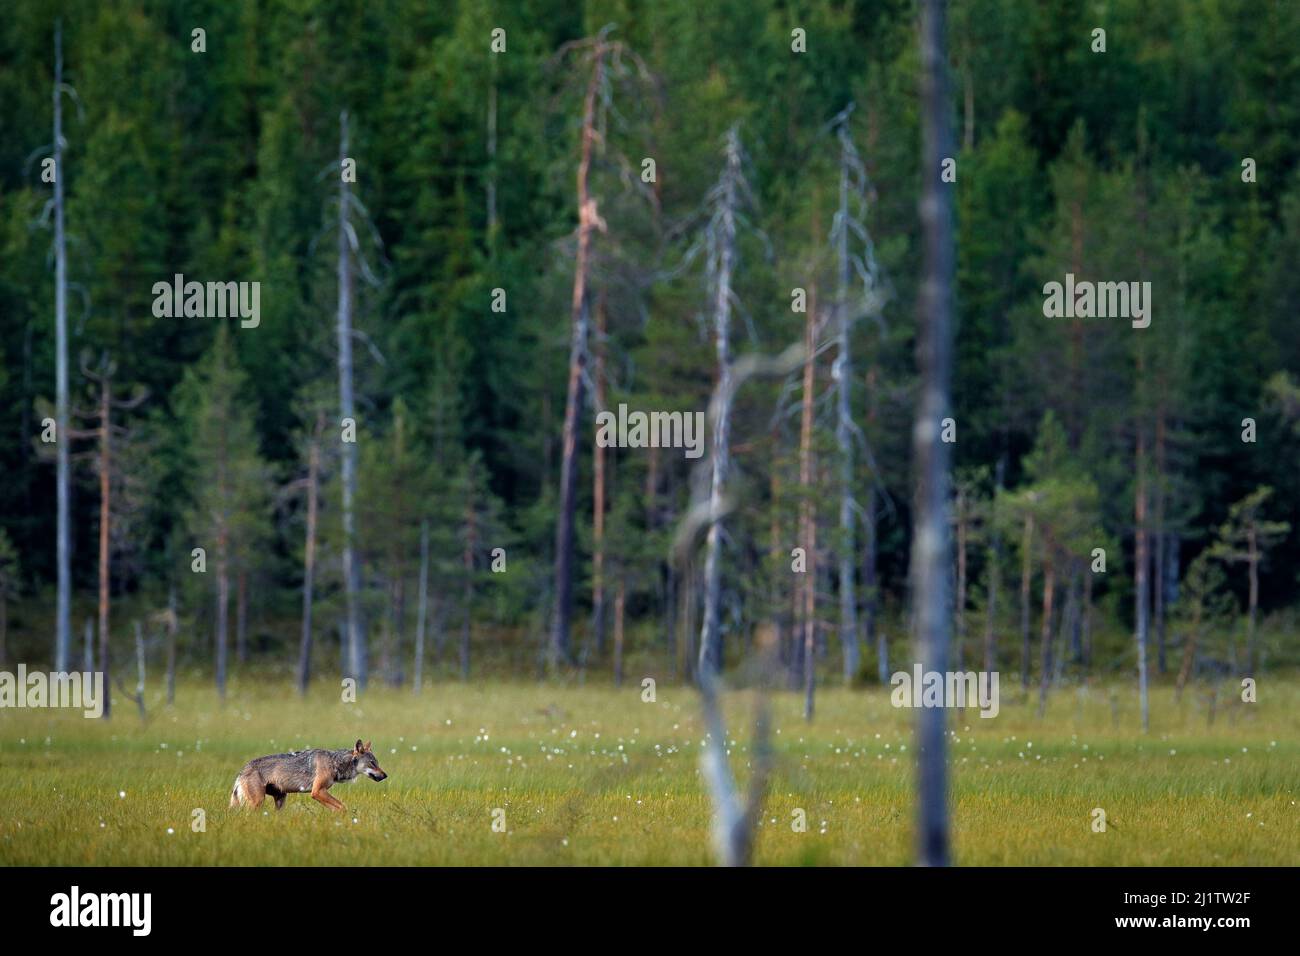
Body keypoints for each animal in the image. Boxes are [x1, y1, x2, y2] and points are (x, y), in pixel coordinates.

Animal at [229, 739, 387, 811]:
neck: (334, 762)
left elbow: (337, 807)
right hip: (258, 803)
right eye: (372, 763)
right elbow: (342, 806)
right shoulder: (317, 791)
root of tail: (242, 770)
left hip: (280, 800)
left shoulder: (320, 793)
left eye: (377, 763)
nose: (385, 775)